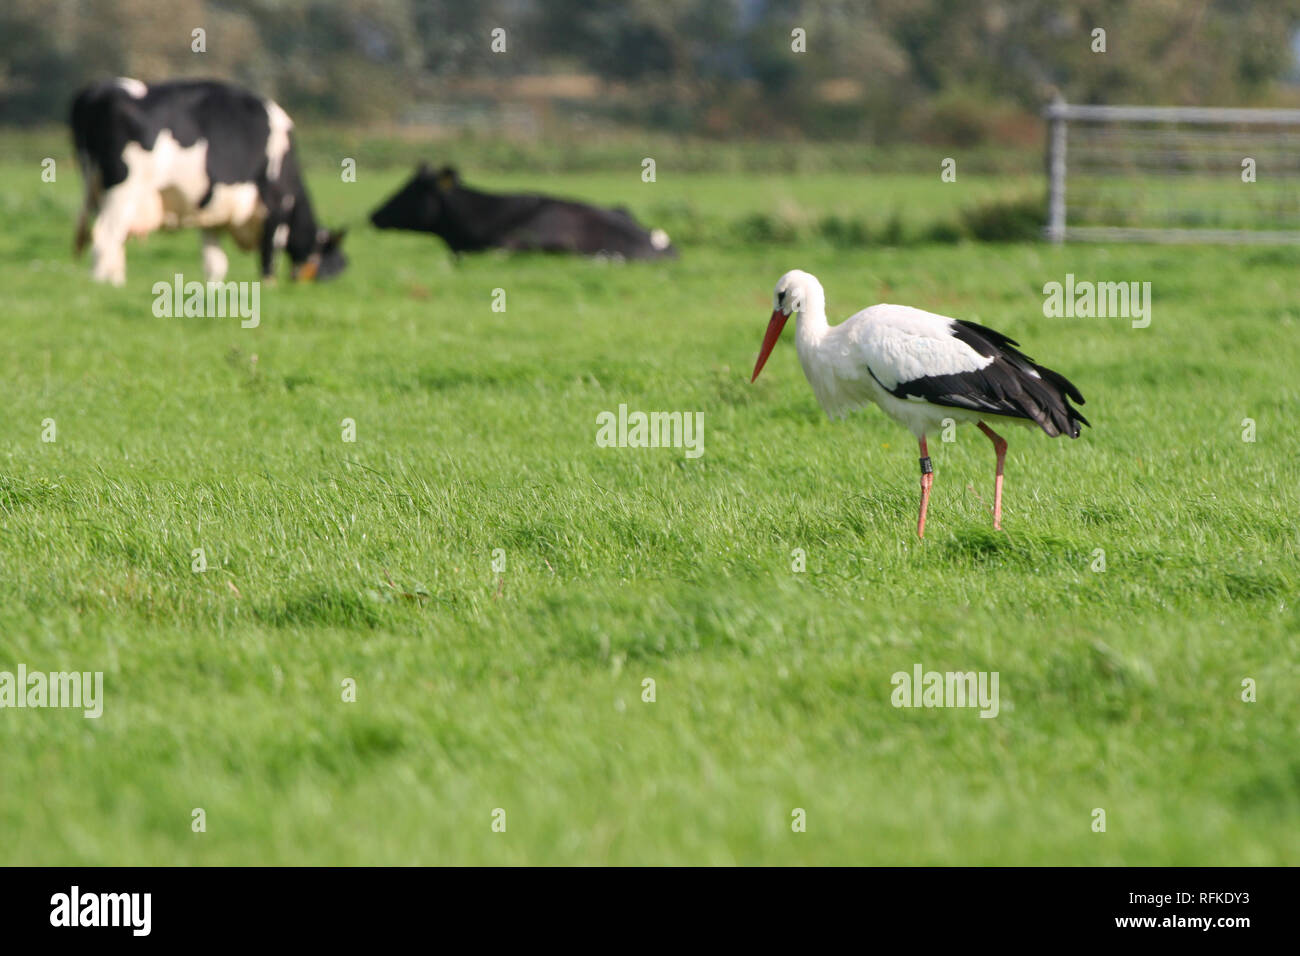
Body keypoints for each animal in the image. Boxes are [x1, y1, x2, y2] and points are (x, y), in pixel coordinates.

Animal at [70, 78, 346, 285]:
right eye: (336, 264)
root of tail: (97, 91)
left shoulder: (213, 216)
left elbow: (216, 264)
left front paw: (214, 289)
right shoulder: (275, 205)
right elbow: (268, 259)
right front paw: (269, 287)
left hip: (99, 191)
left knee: (114, 242)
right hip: (124, 189)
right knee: (104, 237)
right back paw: (106, 287)